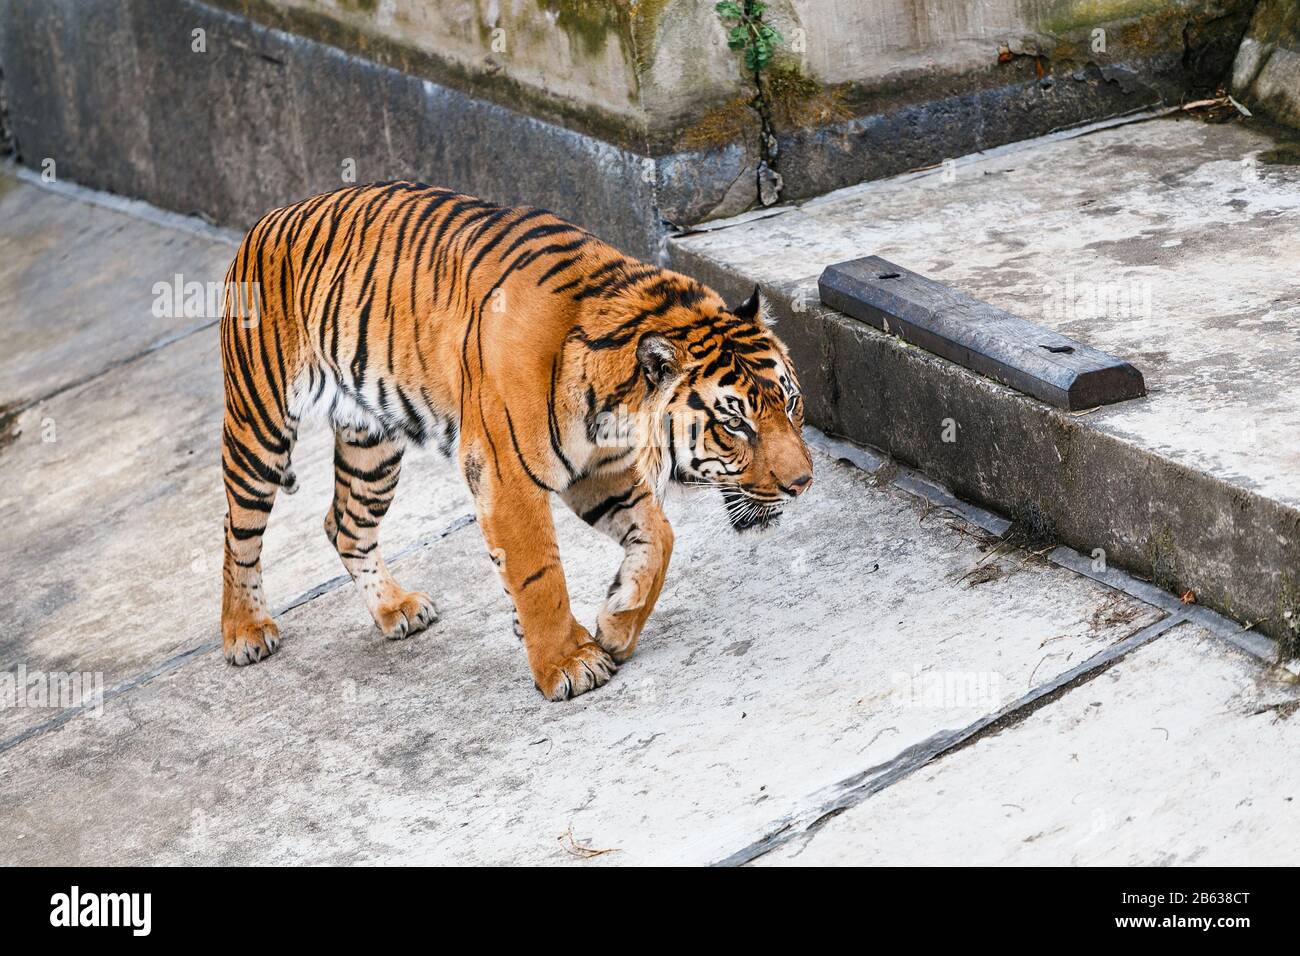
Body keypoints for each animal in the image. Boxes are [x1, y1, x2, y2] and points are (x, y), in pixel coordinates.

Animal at [220, 182, 813, 700]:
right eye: (734, 425)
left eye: (789, 403)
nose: (803, 484)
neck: (613, 405)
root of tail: (268, 219)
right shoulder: (505, 477)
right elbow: (538, 574)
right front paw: (567, 664)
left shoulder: (599, 469)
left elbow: (659, 537)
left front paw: (617, 621)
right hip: (259, 426)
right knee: (237, 531)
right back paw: (245, 632)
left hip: (373, 449)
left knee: (344, 524)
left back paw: (396, 609)